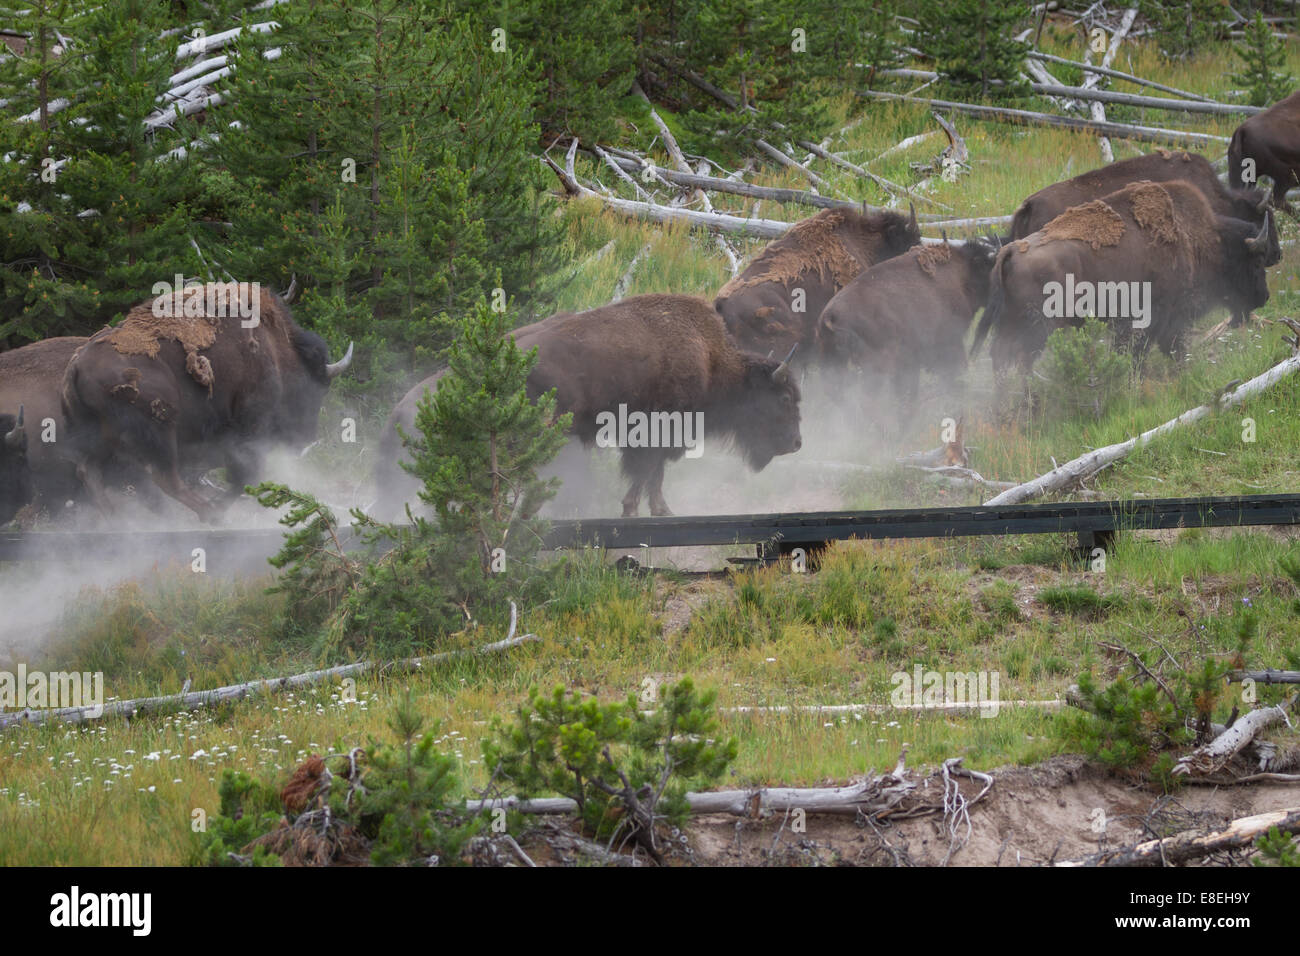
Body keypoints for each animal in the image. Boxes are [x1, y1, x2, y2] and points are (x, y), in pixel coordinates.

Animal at [61, 283, 353, 522]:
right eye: (314, 390)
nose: (305, 440)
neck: (276, 349)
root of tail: (76, 366)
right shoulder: (251, 423)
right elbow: (246, 473)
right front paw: (221, 505)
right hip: (160, 428)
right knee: (164, 477)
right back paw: (209, 513)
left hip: (95, 435)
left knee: (90, 472)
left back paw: (117, 520)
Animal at [377, 293, 803, 518]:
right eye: (784, 399)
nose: (797, 443)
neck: (711, 359)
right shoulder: (655, 433)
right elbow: (646, 473)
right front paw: (637, 509)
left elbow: (654, 475)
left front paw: (659, 509)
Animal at [816, 236, 999, 408]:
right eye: (988, 268)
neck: (961, 273)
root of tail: (830, 315)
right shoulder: (949, 341)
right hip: (875, 363)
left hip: (832, 361)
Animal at [972, 180, 1277, 373]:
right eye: (1256, 261)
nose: (1264, 297)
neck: (1202, 242)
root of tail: (1010, 249)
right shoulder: (1159, 318)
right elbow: (1155, 351)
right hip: (1037, 327)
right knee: (1020, 359)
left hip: (1011, 322)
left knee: (1001, 358)